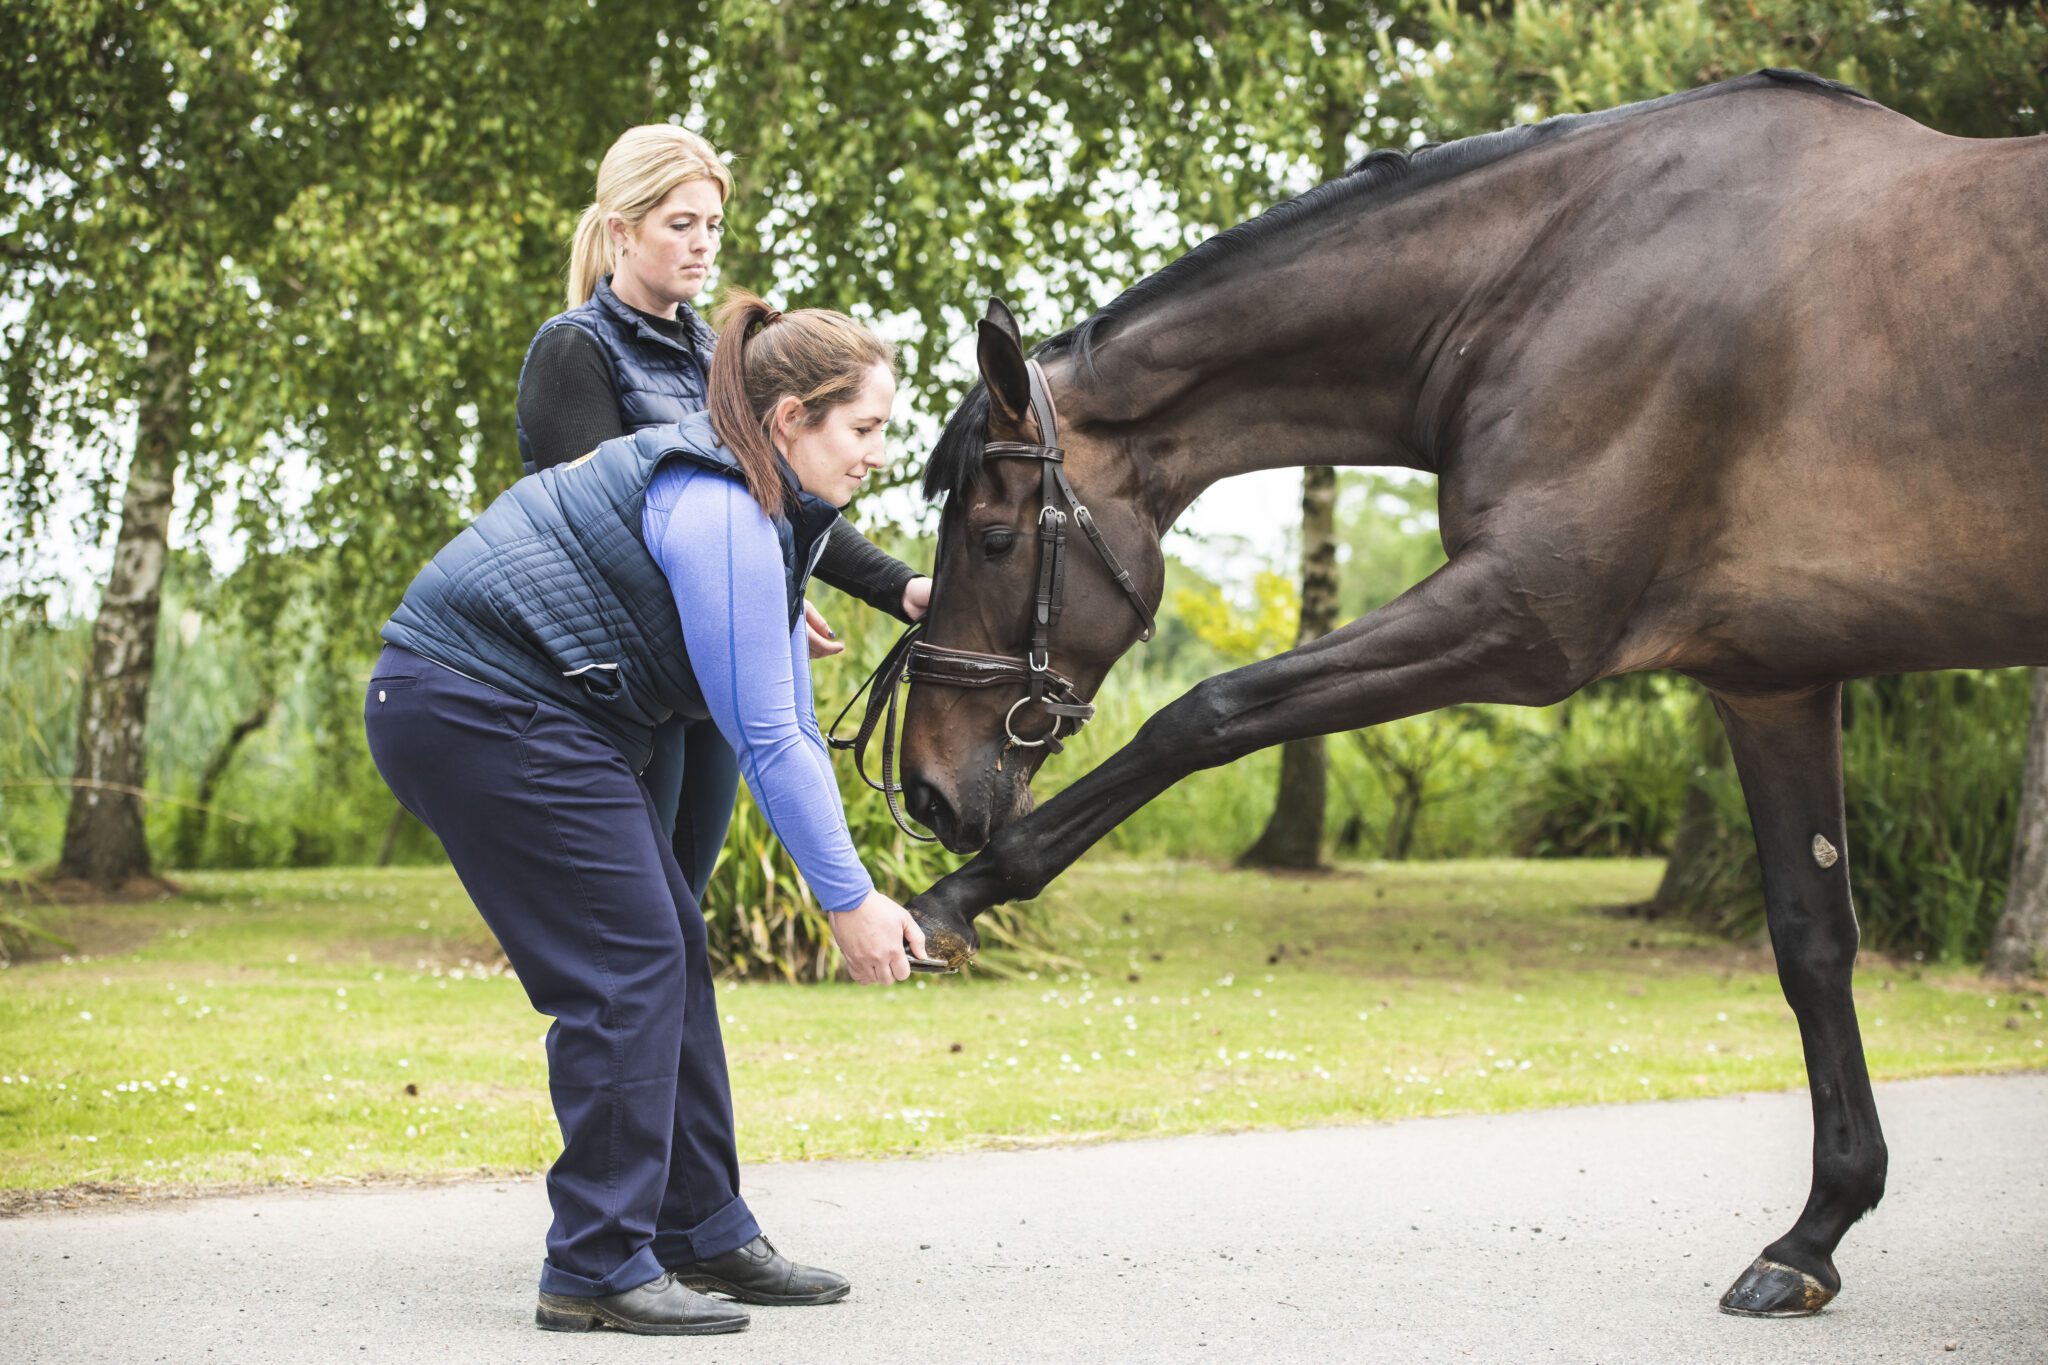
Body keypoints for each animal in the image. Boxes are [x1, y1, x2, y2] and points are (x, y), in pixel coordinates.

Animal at [880, 70, 2048, 1317]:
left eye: (992, 538)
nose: (929, 790)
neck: (1551, 276)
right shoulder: (1769, 685)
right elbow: (1812, 944)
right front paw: (1813, 1233)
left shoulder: (1524, 620)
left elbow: (1202, 714)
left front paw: (958, 898)